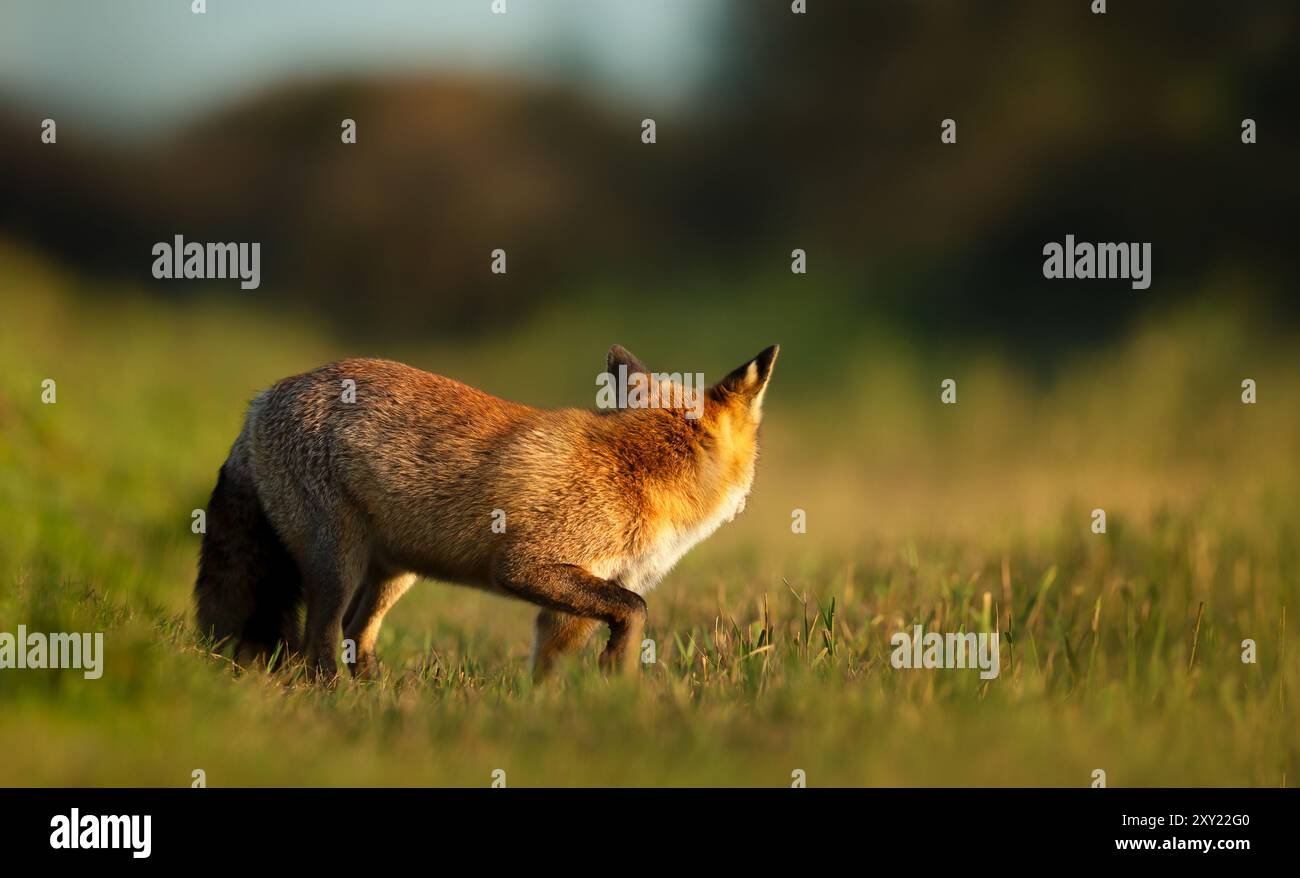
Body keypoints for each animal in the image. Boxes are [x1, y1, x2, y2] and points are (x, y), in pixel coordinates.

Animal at [194, 343, 778, 681]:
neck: (638, 470)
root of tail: (263, 399)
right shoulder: (526, 566)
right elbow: (635, 609)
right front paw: (619, 674)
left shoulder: (575, 600)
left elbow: (551, 669)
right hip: (337, 564)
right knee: (318, 643)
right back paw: (334, 698)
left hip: (391, 573)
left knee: (358, 634)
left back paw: (378, 696)